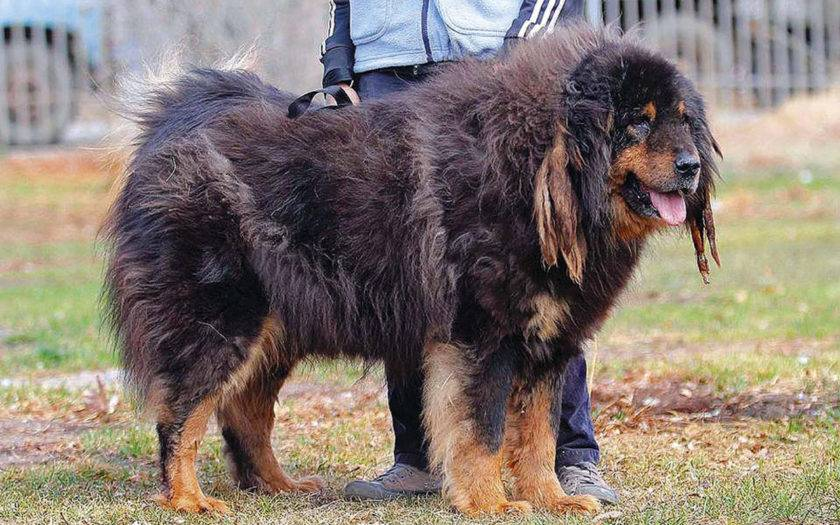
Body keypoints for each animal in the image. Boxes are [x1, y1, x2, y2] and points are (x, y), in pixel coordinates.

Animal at [103, 25, 720, 516]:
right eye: (638, 125)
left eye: (683, 122)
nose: (691, 166)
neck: (536, 172)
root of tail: (172, 124)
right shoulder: (482, 338)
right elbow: (484, 432)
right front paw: (492, 504)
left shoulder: (549, 344)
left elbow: (538, 438)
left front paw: (553, 499)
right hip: (221, 320)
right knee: (182, 415)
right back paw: (187, 499)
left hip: (277, 328)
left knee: (244, 411)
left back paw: (278, 486)